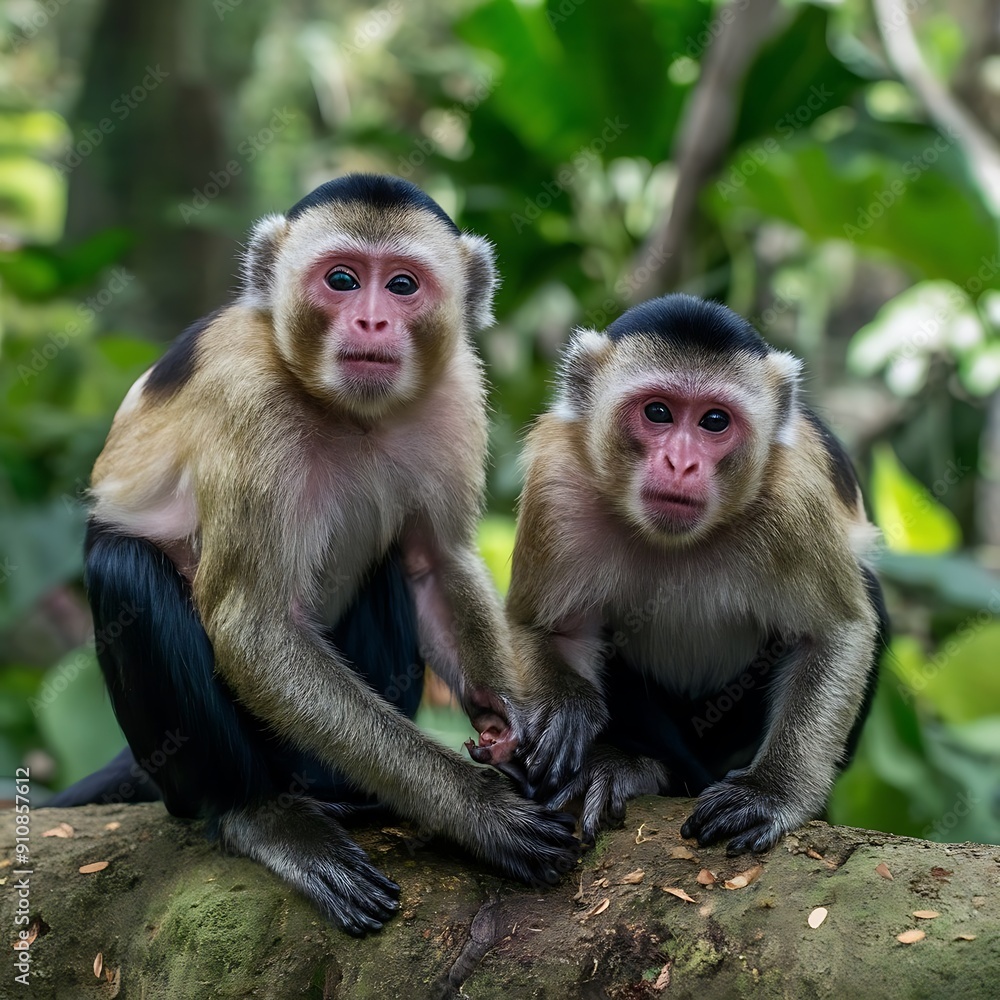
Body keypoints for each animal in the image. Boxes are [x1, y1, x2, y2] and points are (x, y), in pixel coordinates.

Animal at [48, 174, 579, 934]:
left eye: (403, 285)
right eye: (341, 280)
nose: (371, 323)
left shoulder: (455, 387)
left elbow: (435, 563)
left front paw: (515, 724)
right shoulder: (246, 394)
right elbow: (255, 629)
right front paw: (477, 809)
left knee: (391, 566)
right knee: (122, 567)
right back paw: (259, 815)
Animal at [467, 293, 887, 856]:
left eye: (714, 421)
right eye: (658, 412)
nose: (681, 463)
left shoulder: (794, 496)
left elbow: (836, 634)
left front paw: (772, 792)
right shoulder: (559, 478)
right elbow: (540, 625)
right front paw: (567, 706)